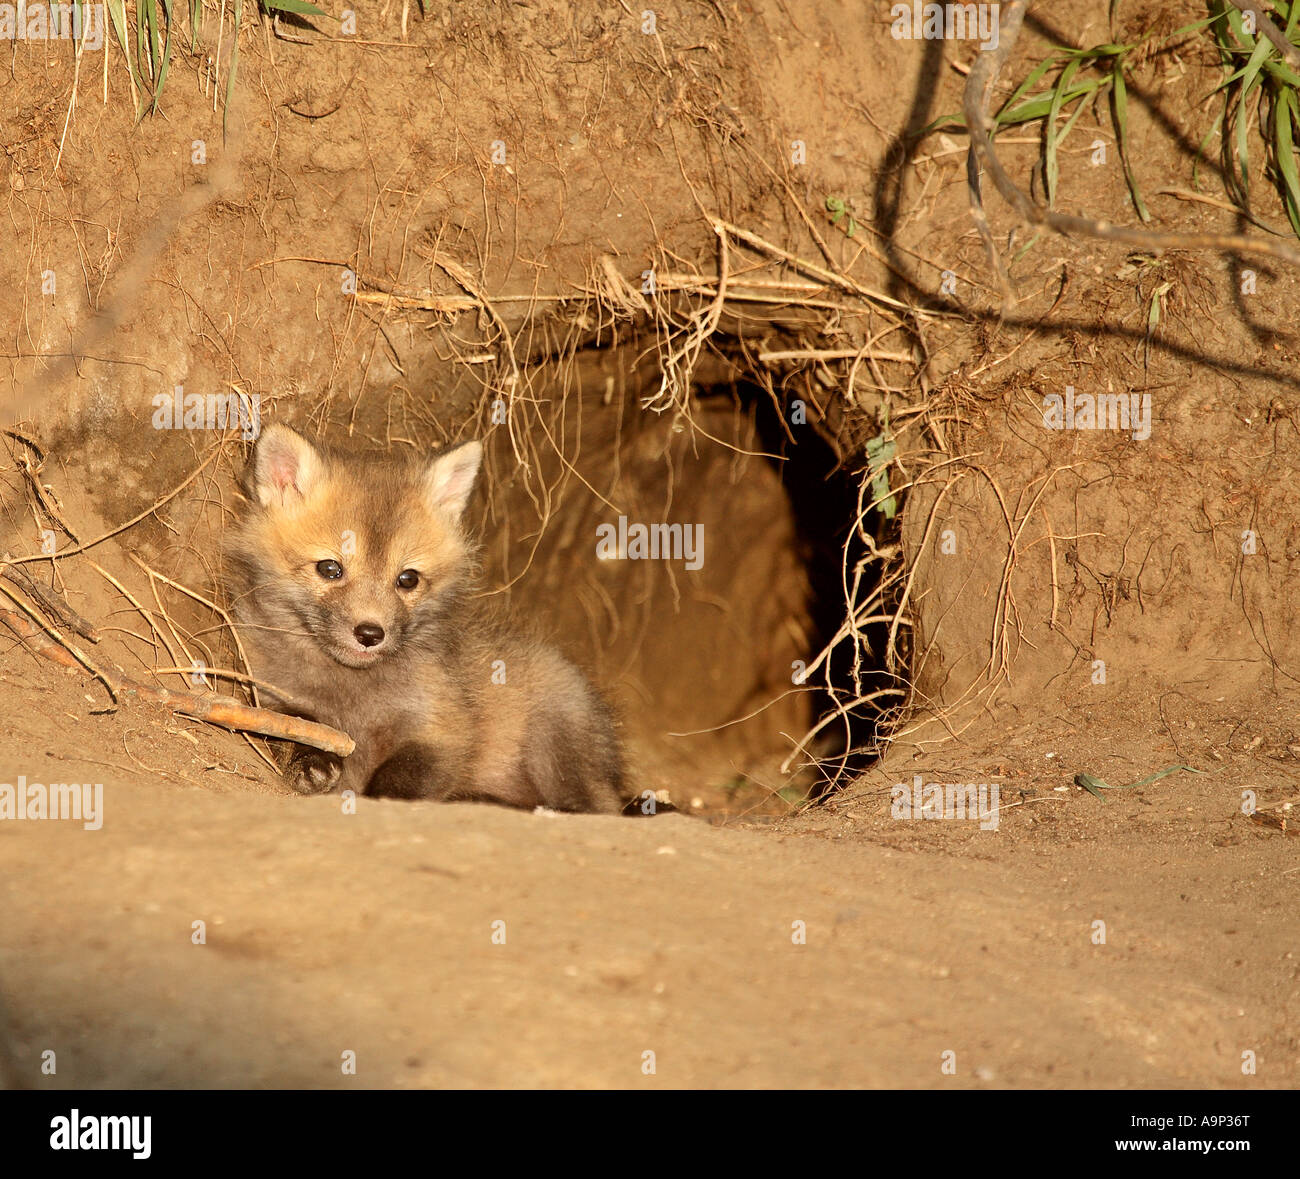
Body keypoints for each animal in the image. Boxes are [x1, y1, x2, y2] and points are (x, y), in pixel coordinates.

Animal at [224, 423, 625, 814]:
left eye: (408, 579)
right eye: (329, 568)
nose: (369, 633)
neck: (349, 694)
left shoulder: (442, 727)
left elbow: (406, 776)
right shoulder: (264, 695)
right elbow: (290, 724)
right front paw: (310, 759)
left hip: (554, 742)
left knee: (596, 807)